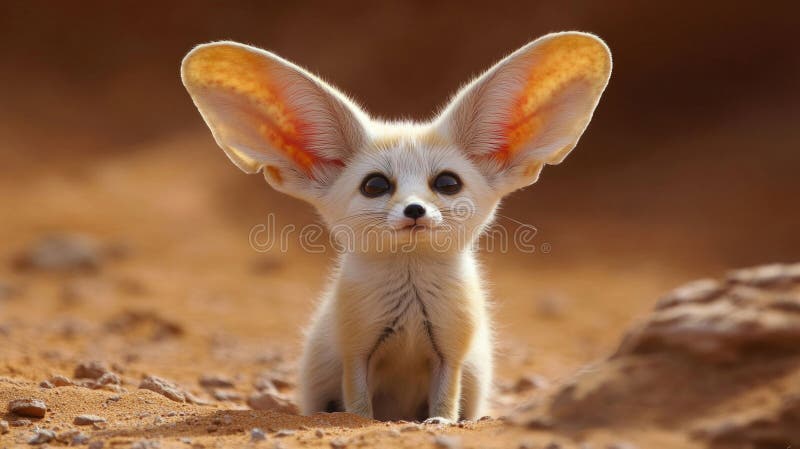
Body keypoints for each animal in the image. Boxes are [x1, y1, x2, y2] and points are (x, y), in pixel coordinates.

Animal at [181, 32, 611, 423]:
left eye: (447, 183)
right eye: (375, 186)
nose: (415, 210)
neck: (410, 290)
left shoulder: (450, 352)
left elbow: (445, 400)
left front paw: (441, 423)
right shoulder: (356, 349)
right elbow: (358, 406)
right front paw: (360, 420)